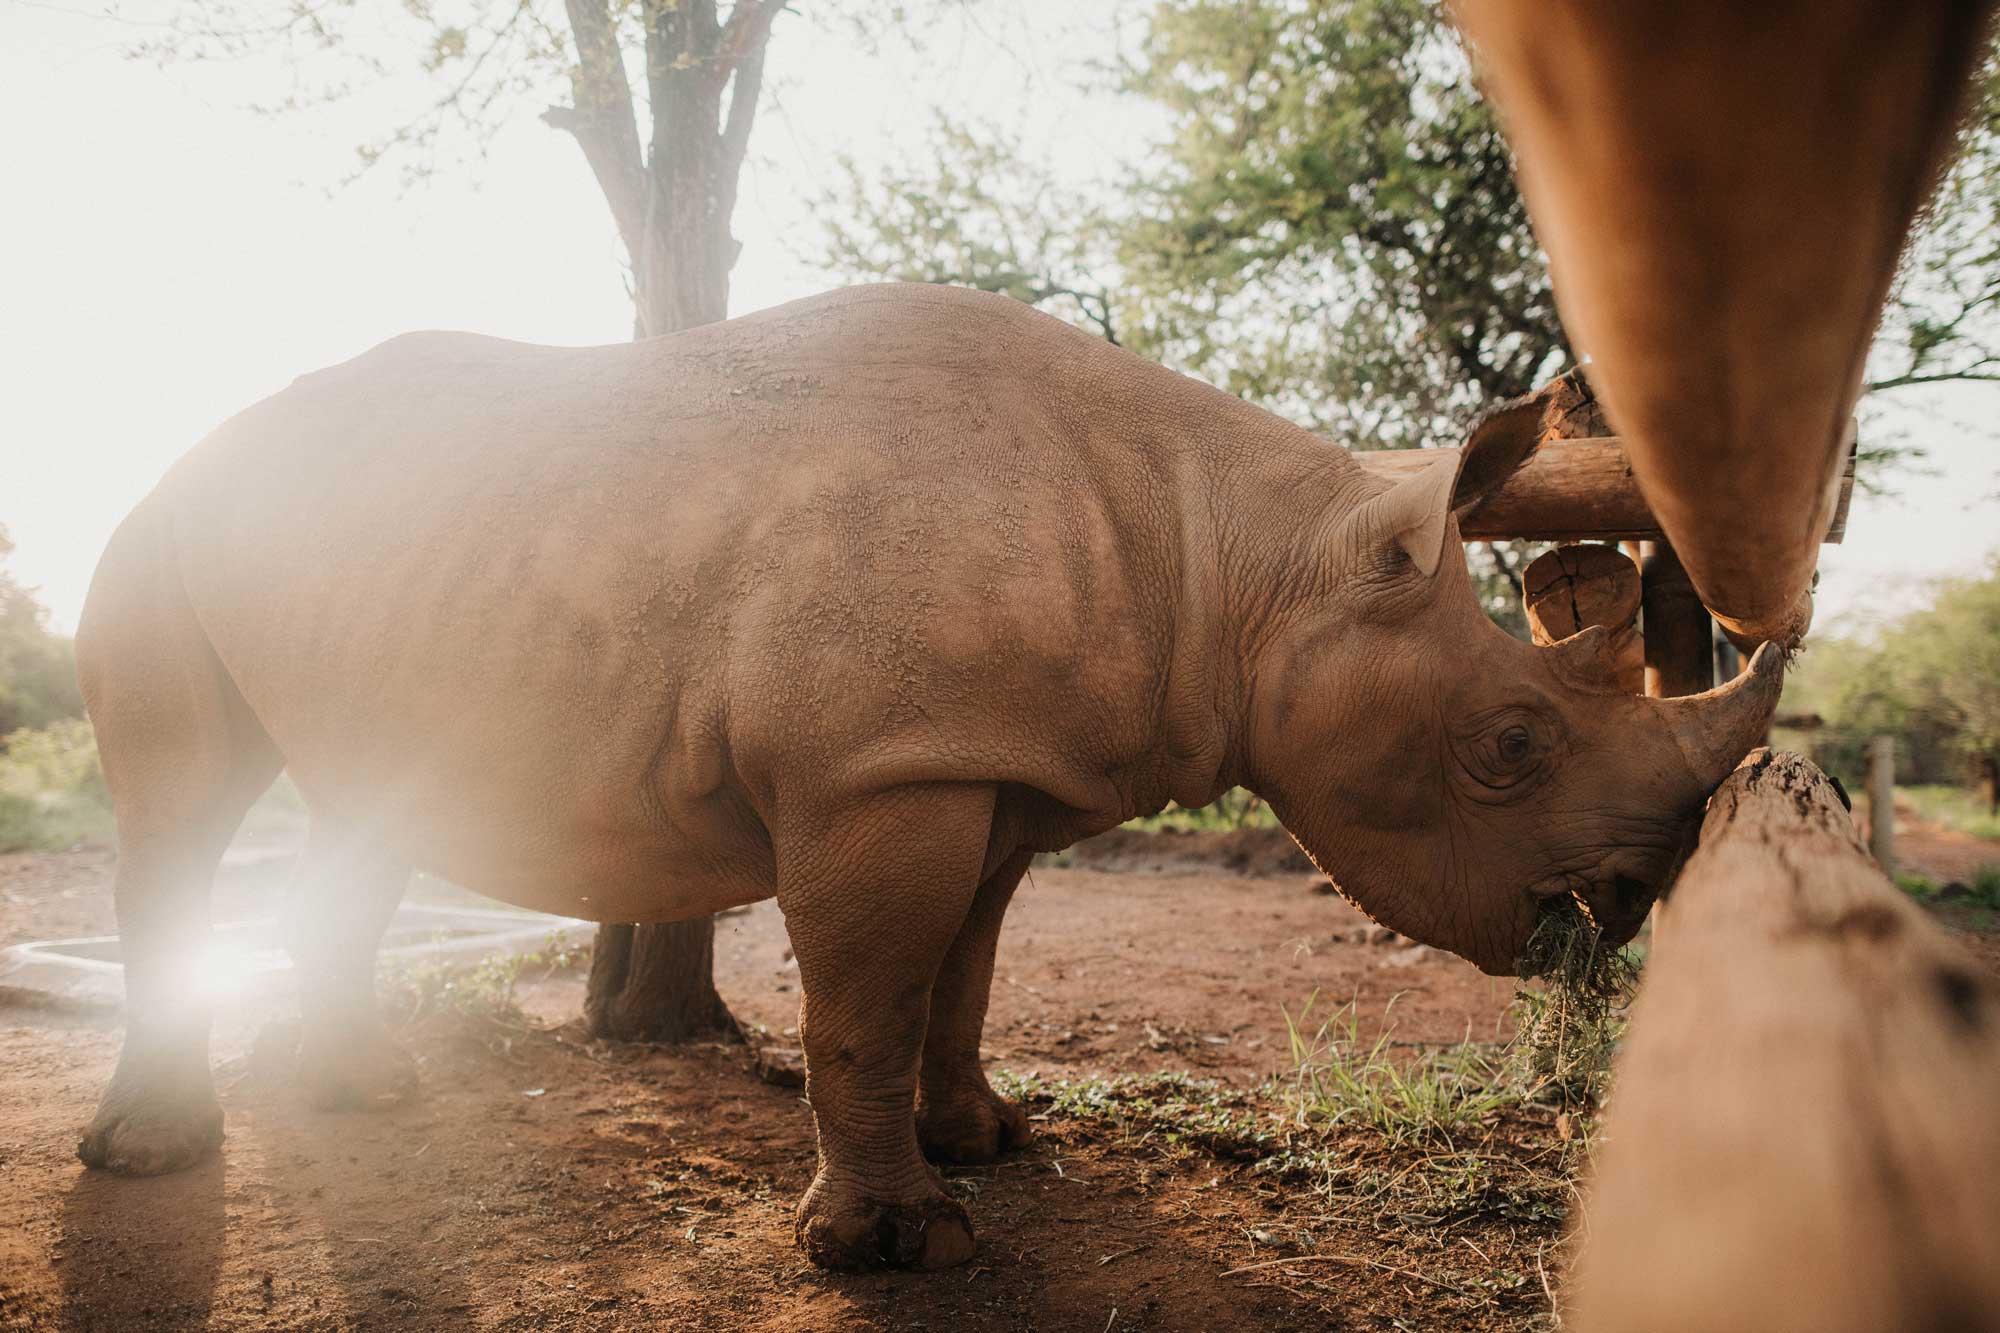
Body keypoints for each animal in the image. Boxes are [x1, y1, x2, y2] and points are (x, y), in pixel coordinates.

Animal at [74, 284, 1780, 1270]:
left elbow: (963, 969)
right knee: (186, 801)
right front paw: (898, 1246)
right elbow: (870, 989)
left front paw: (988, 1143)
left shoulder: (988, 762)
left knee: (366, 801)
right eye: (1511, 746)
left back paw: (357, 1095)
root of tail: (185, 449)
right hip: (162, 520)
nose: (1630, 897)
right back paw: (152, 1157)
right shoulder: (876, 770)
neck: (1244, 558)